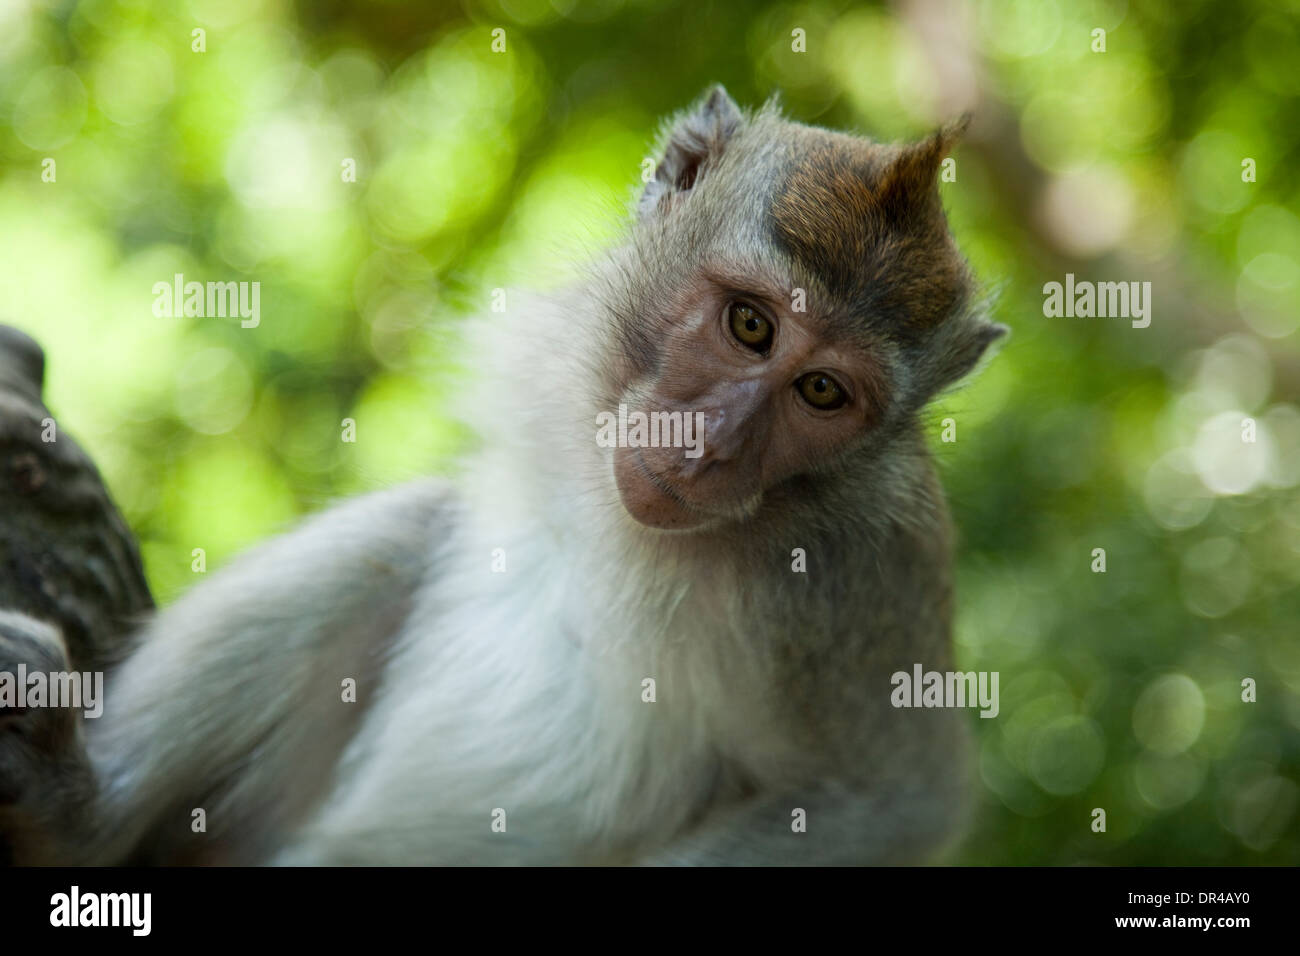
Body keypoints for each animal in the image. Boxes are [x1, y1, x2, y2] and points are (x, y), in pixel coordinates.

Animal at [0, 86, 1006, 865]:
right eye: (751, 325)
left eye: (823, 391)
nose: (711, 446)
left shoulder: (862, 568)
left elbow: (885, 799)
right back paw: (79, 815)